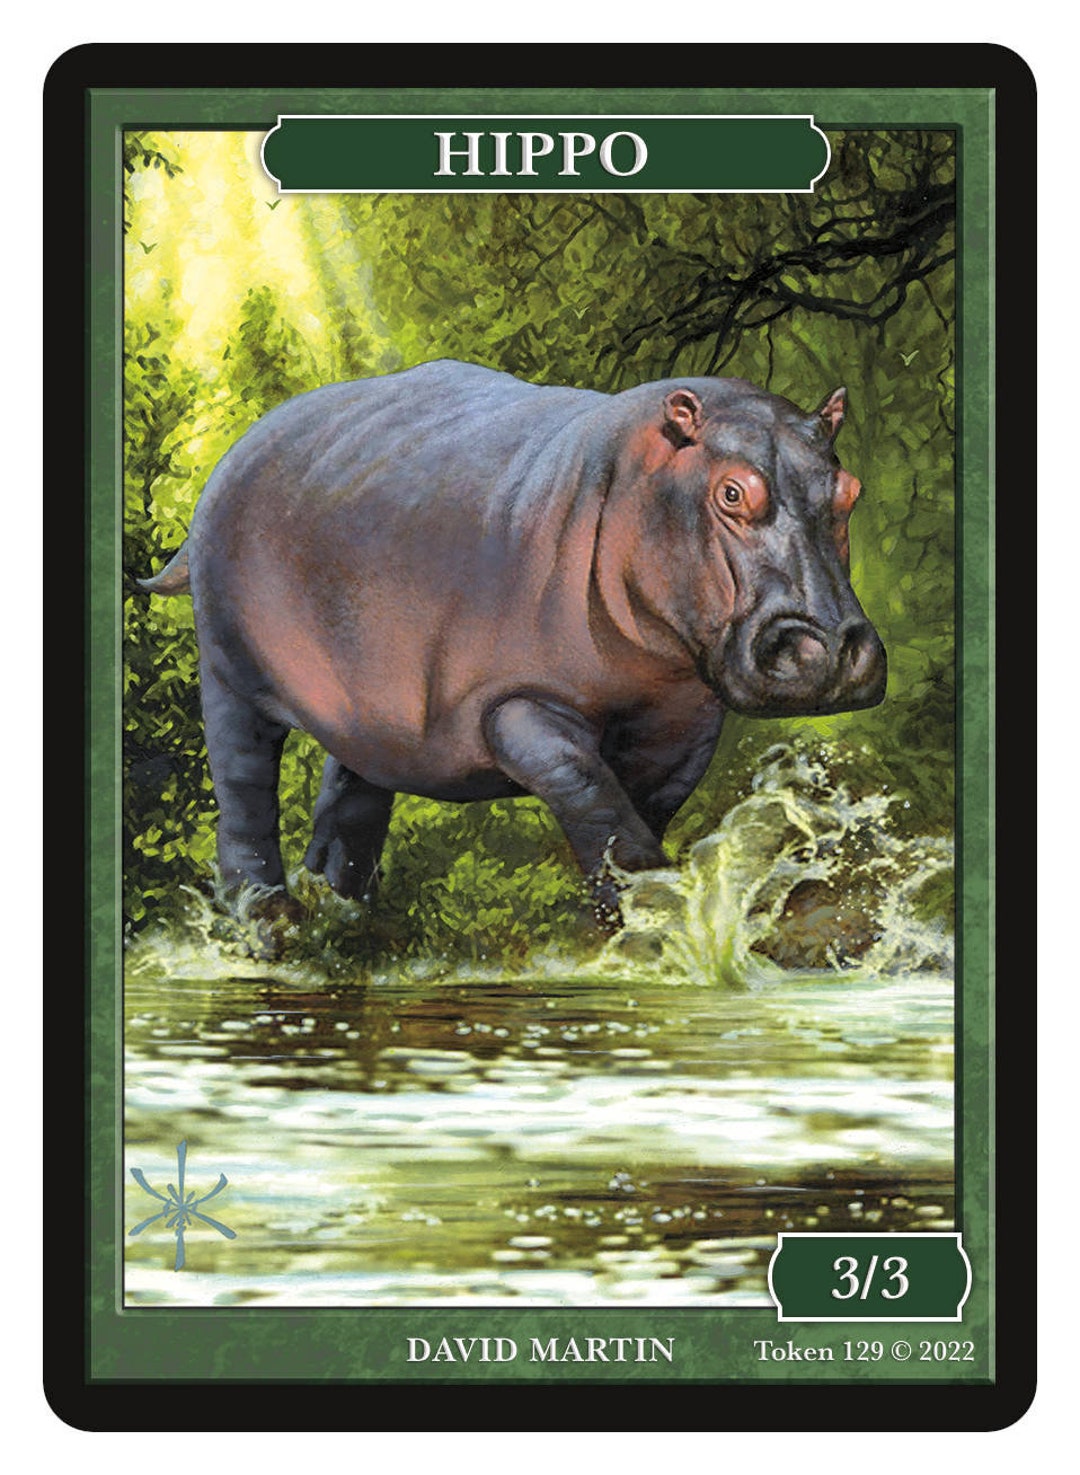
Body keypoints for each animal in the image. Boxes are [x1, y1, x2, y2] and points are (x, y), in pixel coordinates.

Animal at [140, 359, 885, 924]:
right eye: (731, 493)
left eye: (852, 489)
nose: (833, 650)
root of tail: (238, 448)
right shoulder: (512, 704)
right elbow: (591, 791)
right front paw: (655, 922)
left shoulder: (685, 717)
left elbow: (636, 813)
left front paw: (639, 912)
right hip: (228, 665)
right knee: (242, 785)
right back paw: (268, 924)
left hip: (368, 697)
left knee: (355, 778)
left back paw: (344, 907)